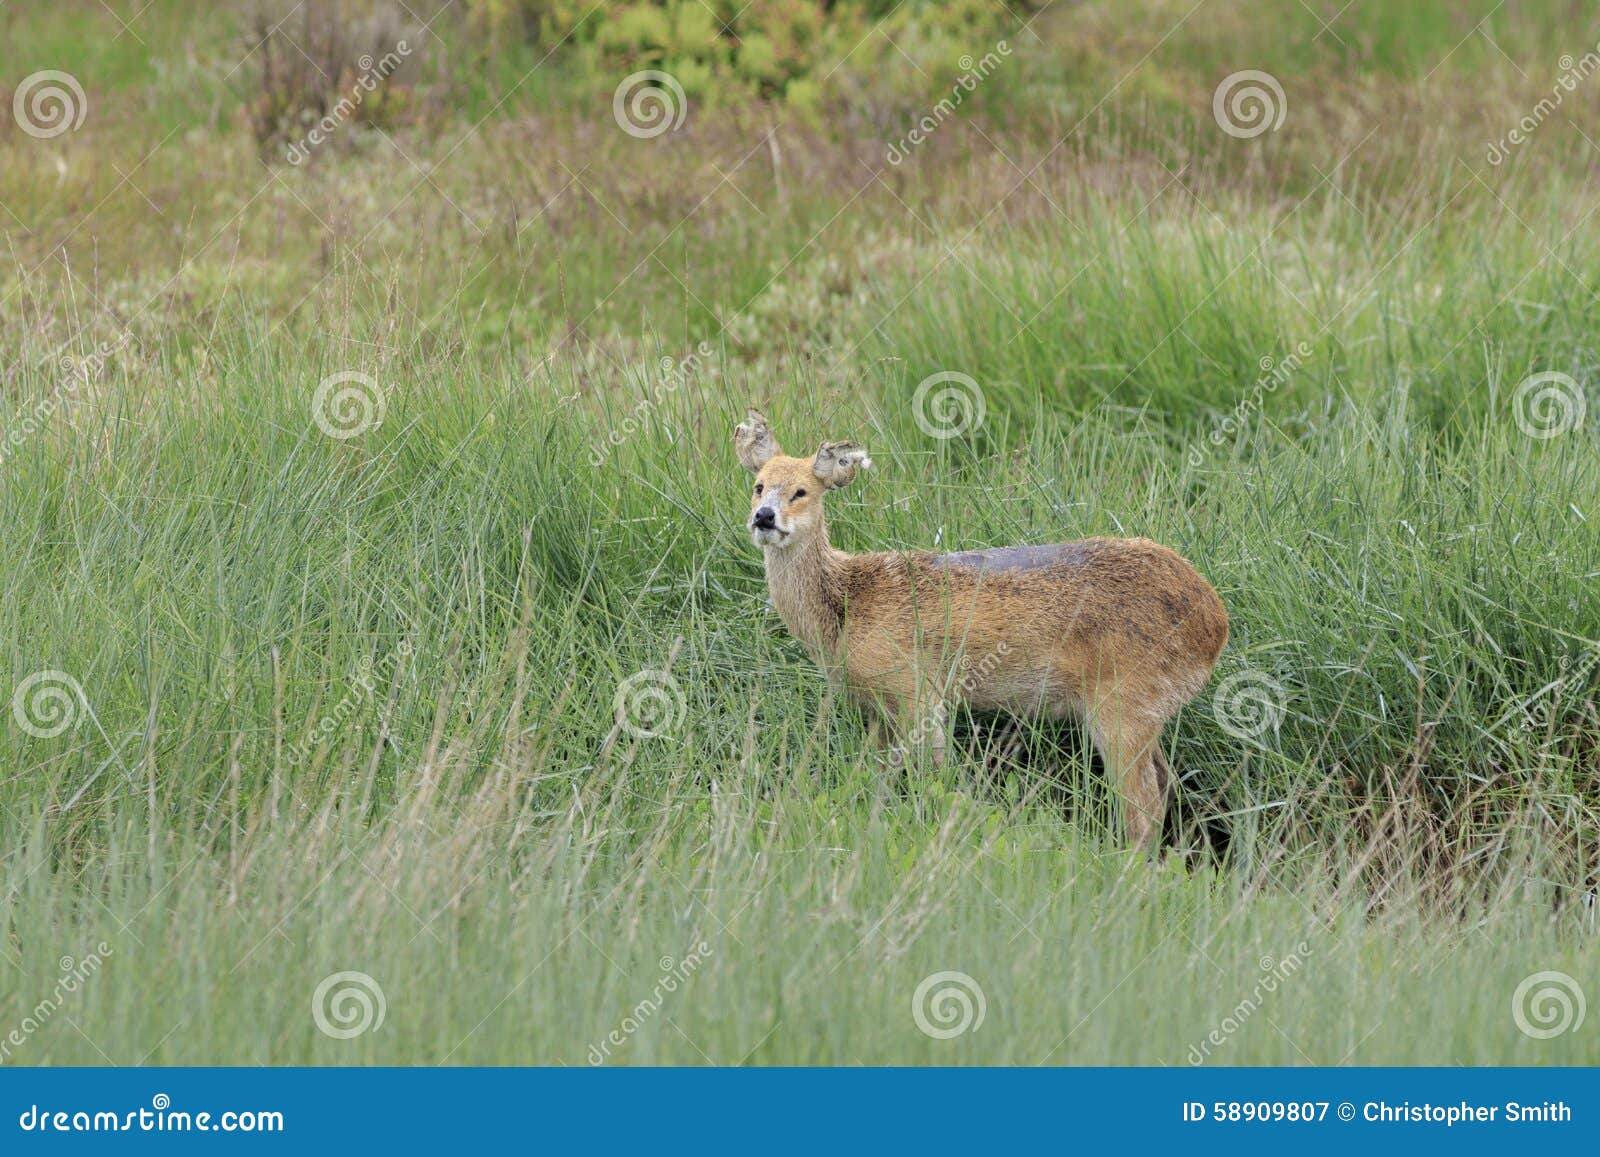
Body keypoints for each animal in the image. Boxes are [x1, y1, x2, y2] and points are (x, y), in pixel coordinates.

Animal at [734, 408, 1229, 851]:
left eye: (801, 491)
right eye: (758, 486)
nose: (764, 517)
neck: (847, 604)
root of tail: (1216, 624)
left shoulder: (919, 689)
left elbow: (936, 773)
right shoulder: (877, 706)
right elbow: (875, 771)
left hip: (1124, 703)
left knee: (1144, 803)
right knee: (1164, 785)